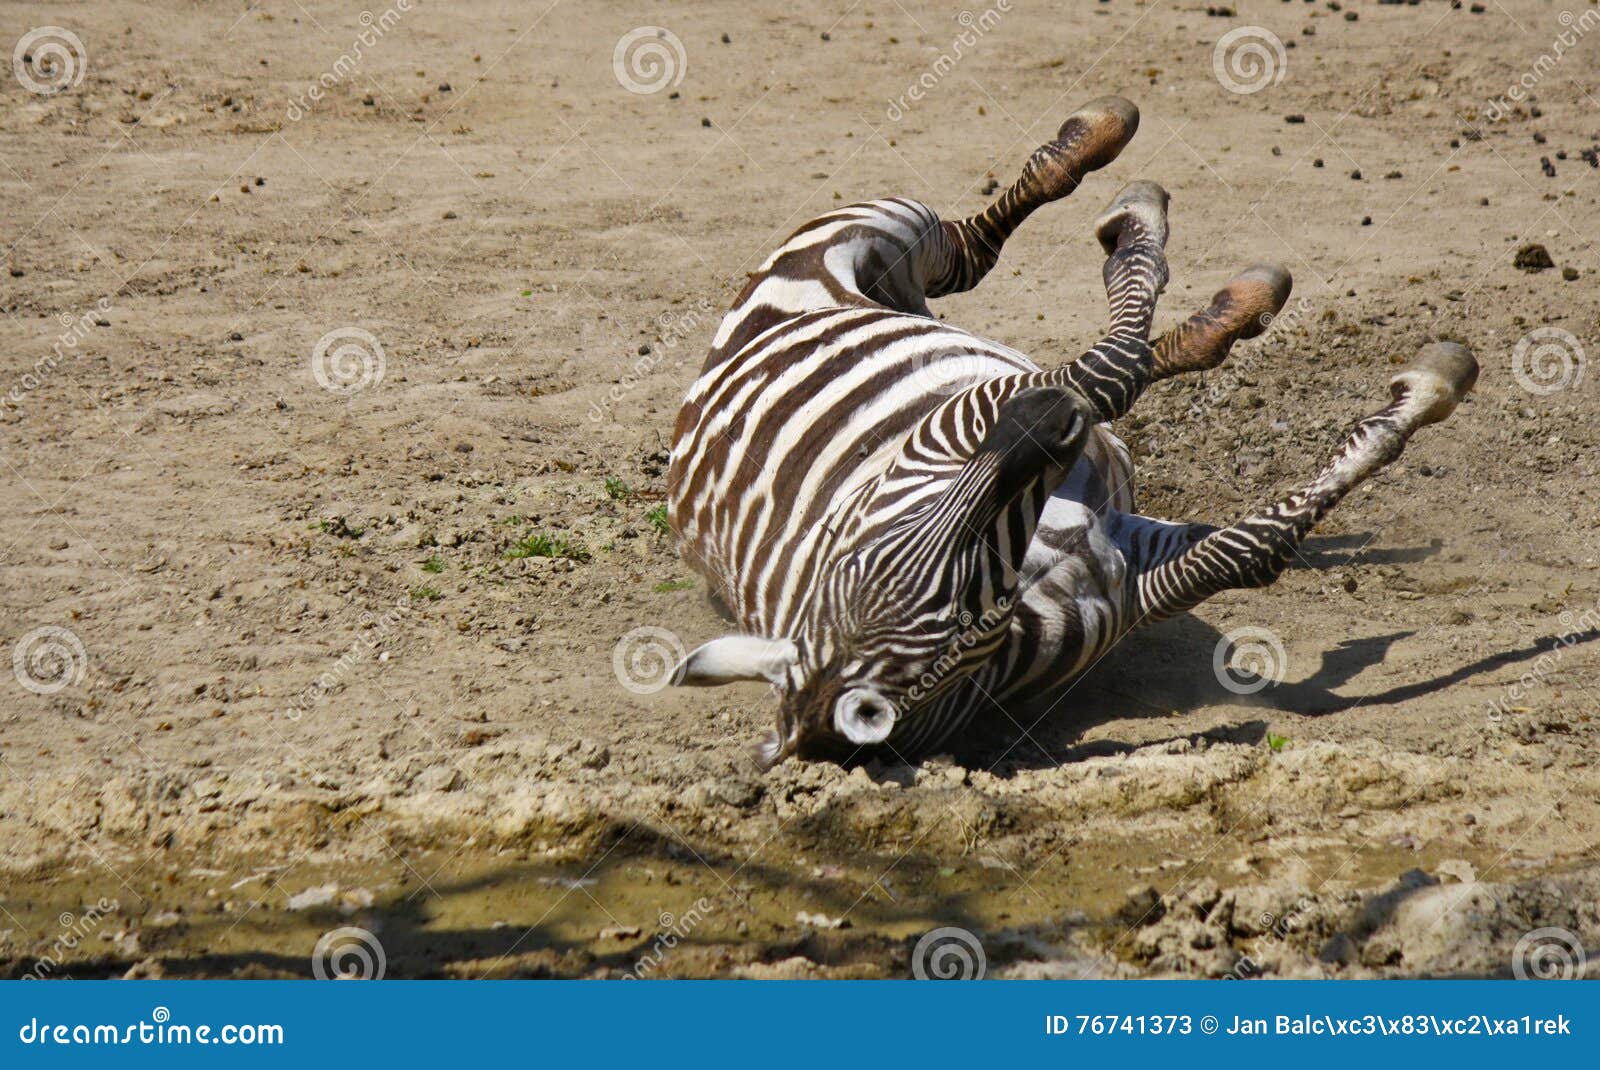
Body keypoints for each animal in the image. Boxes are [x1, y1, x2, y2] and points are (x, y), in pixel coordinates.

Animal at [664, 96, 1477, 768]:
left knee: (979, 254)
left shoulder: (977, 437)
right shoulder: (1049, 500)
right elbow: (1243, 537)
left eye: (858, 552)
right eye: (959, 613)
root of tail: (715, 355)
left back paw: (1131, 189)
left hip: (888, 240)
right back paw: (1171, 253)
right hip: (911, 278)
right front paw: (1431, 387)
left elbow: (1121, 386)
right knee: (1068, 328)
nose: (1042, 428)